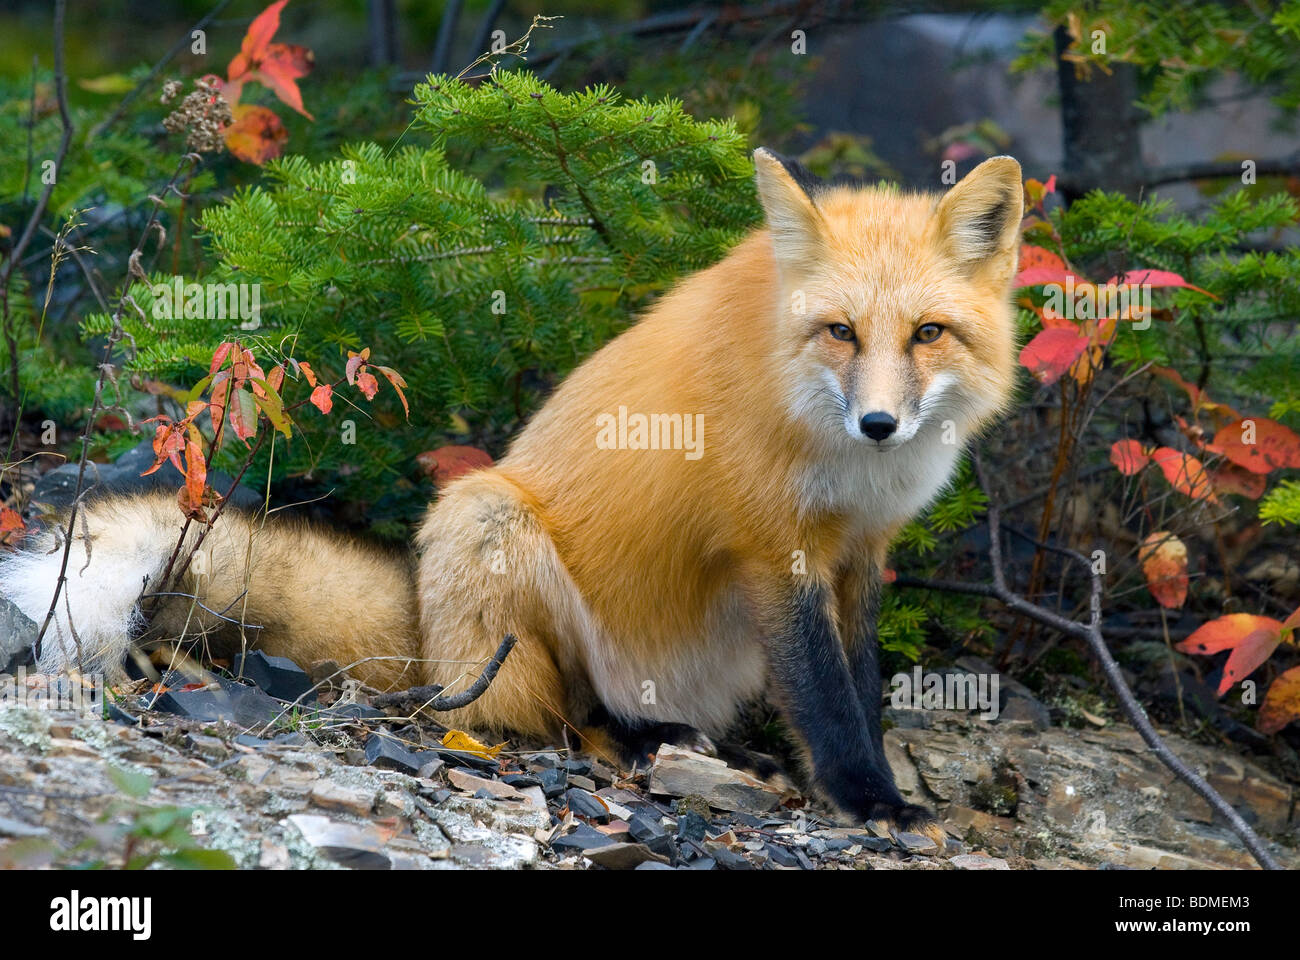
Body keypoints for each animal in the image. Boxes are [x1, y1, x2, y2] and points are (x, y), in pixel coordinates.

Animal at [0, 150, 1022, 836]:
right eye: (841, 332)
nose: (879, 424)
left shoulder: (860, 552)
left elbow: (861, 684)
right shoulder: (778, 549)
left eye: (928, 333)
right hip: (490, 522)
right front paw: (871, 801)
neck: (844, 461)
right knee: (550, 717)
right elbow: (825, 694)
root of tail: (426, 631)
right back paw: (645, 740)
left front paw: (879, 788)